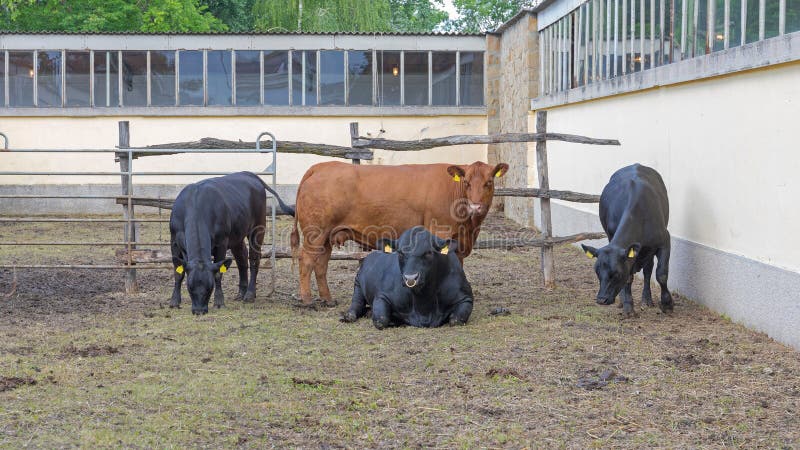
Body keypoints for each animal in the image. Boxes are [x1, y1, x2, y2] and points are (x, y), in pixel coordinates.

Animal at [169, 171, 294, 315]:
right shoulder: (174, 242)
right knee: (242, 258)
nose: (199, 311)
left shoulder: (222, 243)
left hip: (257, 228)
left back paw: (249, 294)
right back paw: (241, 292)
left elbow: (218, 274)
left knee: (254, 259)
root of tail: (248, 174)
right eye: (190, 287)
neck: (195, 204)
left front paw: (219, 301)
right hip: (236, 237)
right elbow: (178, 273)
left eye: (210, 287)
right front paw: (174, 302)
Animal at [290, 160, 508, 307]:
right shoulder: (440, 233)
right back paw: (307, 300)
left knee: (321, 264)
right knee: (306, 260)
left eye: (489, 182)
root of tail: (322, 166)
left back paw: (327, 299)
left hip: (326, 237)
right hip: (315, 233)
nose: (475, 206)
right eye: (467, 182)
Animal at [342, 226, 474, 329]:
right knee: (356, 303)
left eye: (428, 252)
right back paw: (349, 315)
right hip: (358, 283)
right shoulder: (382, 295)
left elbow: (455, 320)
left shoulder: (466, 297)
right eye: (400, 253)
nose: (410, 278)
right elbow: (381, 320)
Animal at [581, 164, 674, 317]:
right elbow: (628, 278)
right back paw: (622, 300)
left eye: (616, 273)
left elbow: (661, 274)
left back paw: (647, 299)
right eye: (597, 272)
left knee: (648, 270)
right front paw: (628, 305)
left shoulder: (665, 240)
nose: (601, 299)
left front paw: (667, 303)